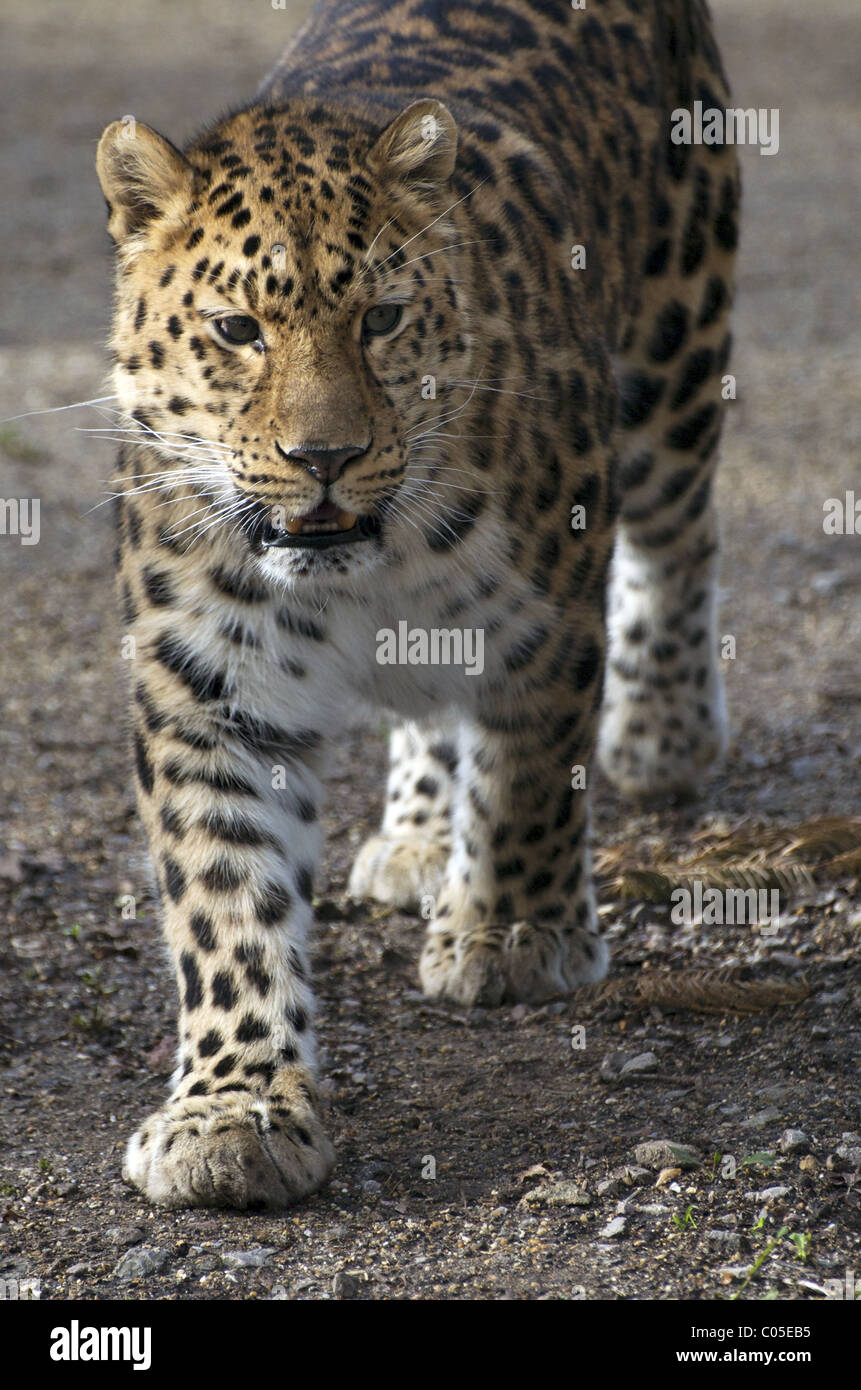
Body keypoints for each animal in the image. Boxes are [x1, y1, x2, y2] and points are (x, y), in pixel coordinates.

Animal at [95, 0, 740, 1209]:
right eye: (238, 331)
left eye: (383, 318)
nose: (327, 458)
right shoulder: (205, 685)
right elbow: (225, 898)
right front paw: (229, 1111)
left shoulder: (549, 604)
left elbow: (530, 767)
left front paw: (514, 934)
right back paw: (418, 834)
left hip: (679, 353)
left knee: (681, 533)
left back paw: (664, 728)